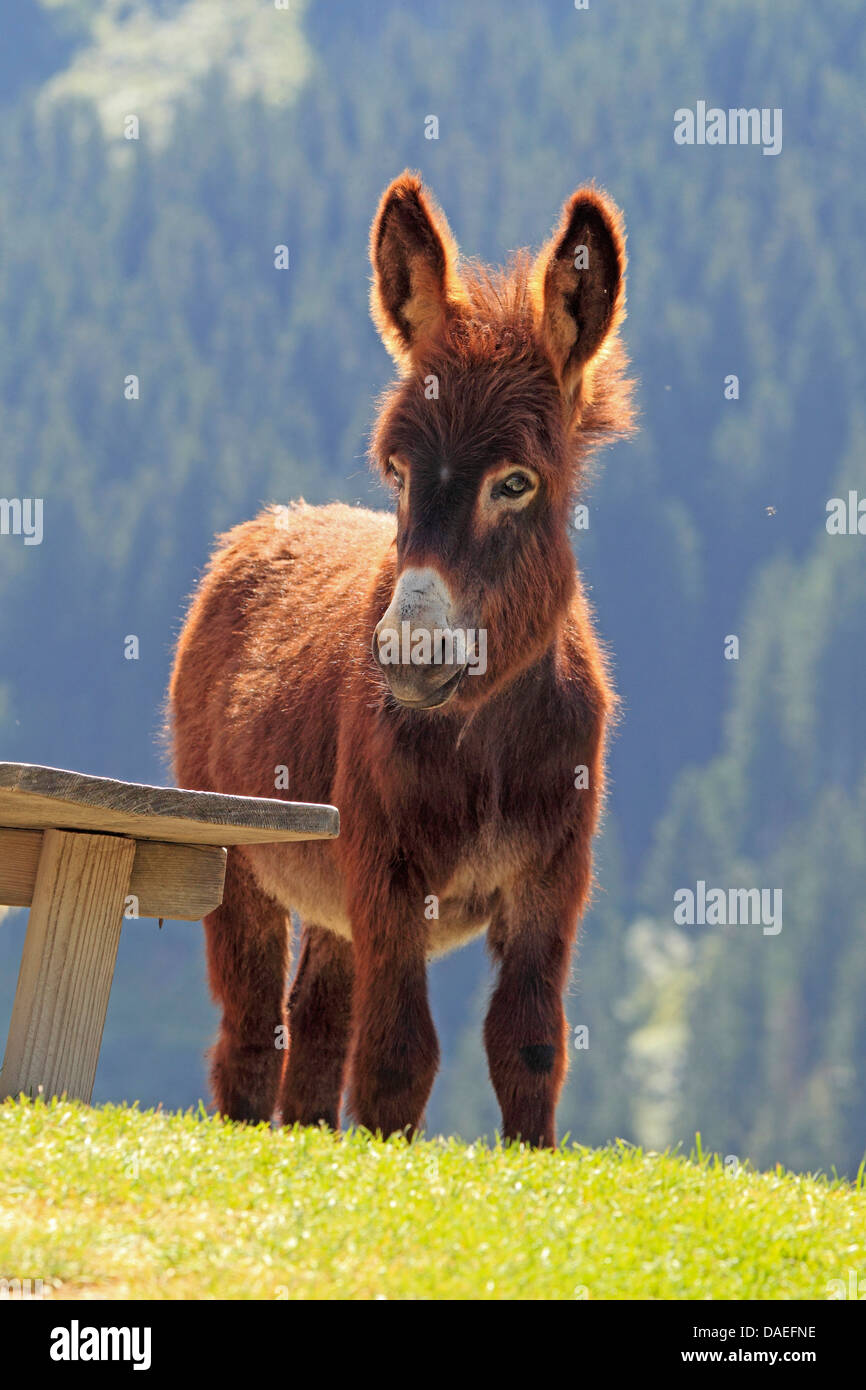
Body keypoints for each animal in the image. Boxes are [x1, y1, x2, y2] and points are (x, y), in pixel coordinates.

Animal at [168, 170, 635, 1146]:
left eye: (515, 483)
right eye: (396, 470)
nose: (411, 657)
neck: (485, 738)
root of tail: (267, 523)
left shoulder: (551, 881)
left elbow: (529, 1045)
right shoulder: (387, 877)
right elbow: (396, 1059)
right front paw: (390, 1156)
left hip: (332, 898)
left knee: (314, 1028)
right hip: (237, 855)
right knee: (251, 1032)